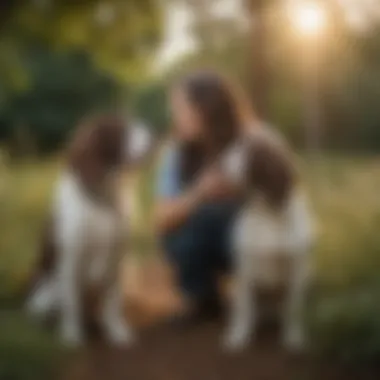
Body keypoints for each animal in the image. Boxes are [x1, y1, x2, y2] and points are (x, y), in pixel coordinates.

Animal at [25, 114, 154, 346]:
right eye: (120, 128)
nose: (155, 134)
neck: (103, 199)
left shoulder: (116, 261)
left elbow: (113, 303)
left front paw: (118, 333)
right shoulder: (71, 261)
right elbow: (72, 303)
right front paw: (72, 336)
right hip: (47, 293)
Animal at [221, 126, 314, 352]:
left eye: (244, 146)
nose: (220, 155)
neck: (267, 211)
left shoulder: (298, 269)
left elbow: (293, 307)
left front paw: (294, 338)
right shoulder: (244, 268)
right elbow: (245, 308)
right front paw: (238, 337)